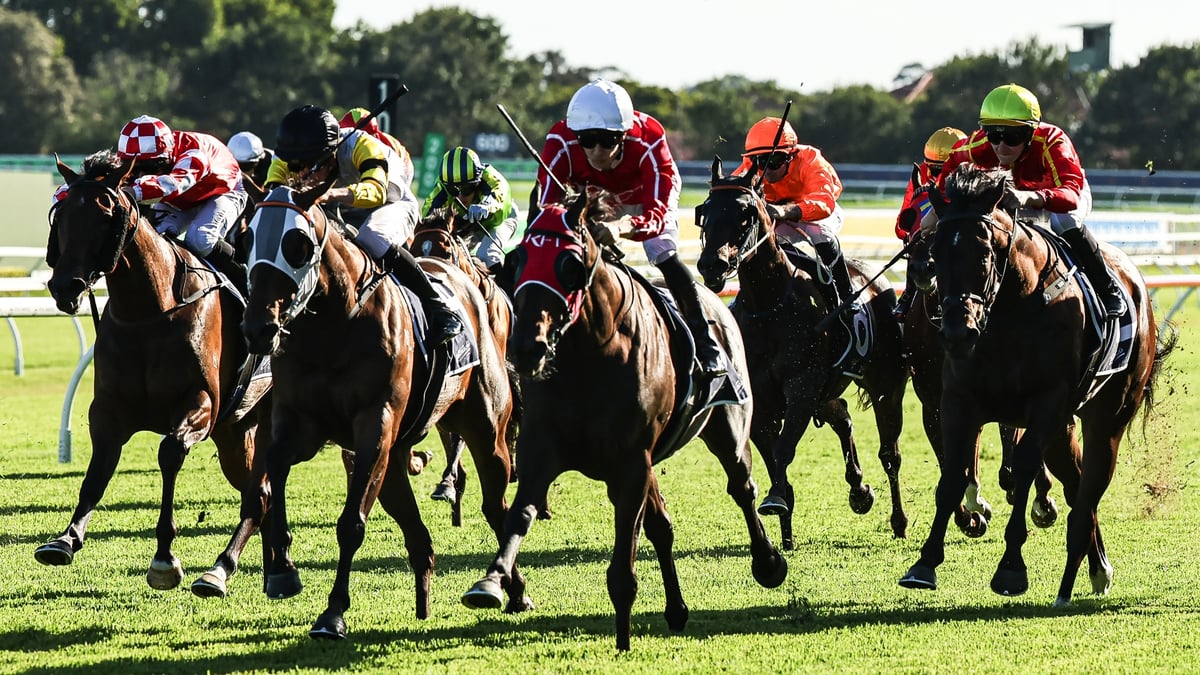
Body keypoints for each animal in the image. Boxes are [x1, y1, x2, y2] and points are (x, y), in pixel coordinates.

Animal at [38, 154, 272, 591]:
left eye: (105, 214)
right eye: (60, 217)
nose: (65, 286)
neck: (149, 311)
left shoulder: (201, 405)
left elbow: (169, 453)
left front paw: (164, 557)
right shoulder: (108, 409)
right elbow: (98, 470)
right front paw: (65, 539)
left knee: (261, 493)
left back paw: (219, 571)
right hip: (235, 432)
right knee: (259, 492)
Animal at [196, 180, 525, 639]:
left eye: (296, 244)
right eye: (248, 240)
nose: (257, 327)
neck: (334, 327)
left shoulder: (374, 426)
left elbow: (351, 523)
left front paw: (333, 613)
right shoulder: (296, 424)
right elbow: (271, 476)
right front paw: (282, 570)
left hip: (485, 428)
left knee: (496, 505)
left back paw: (504, 589)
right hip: (397, 452)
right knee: (416, 527)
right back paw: (426, 597)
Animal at [460, 189, 787, 652]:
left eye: (570, 264)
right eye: (517, 259)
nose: (527, 347)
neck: (588, 356)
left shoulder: (629, 466)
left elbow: (623, 562)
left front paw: (623, 639)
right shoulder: (545, 453)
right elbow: (518, 514)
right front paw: (491, 583)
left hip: (728, 431)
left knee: (741, 487)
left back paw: (768, 562)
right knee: (662, 526)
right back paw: (676, 608)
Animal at [694, 159, 909, 548]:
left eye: (746, 213)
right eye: (706, 210)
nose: (711, 265)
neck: (769, 304)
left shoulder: (802, 387)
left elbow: (783, 448)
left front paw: (778, 500)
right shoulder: (766, 399)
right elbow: (772, 454)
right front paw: (783, 516)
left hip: (887, 387)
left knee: (890, 453)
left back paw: (898, 519)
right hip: (828, 391)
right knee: (843, 418)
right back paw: (859, 490)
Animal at [899, 164, 1176, 603]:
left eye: (983, 254)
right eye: (935, 251)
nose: (957, 332)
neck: (1012, 307)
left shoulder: (1047, 402)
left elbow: (1025, 467)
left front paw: (1011, 567)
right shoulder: (956, 399)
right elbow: (953, 474)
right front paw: (925, 562)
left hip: (1108, 415)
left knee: (1091, 484)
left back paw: (1087, 570)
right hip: (1063, 428)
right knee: (1077, 485)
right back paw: (1095, 567)